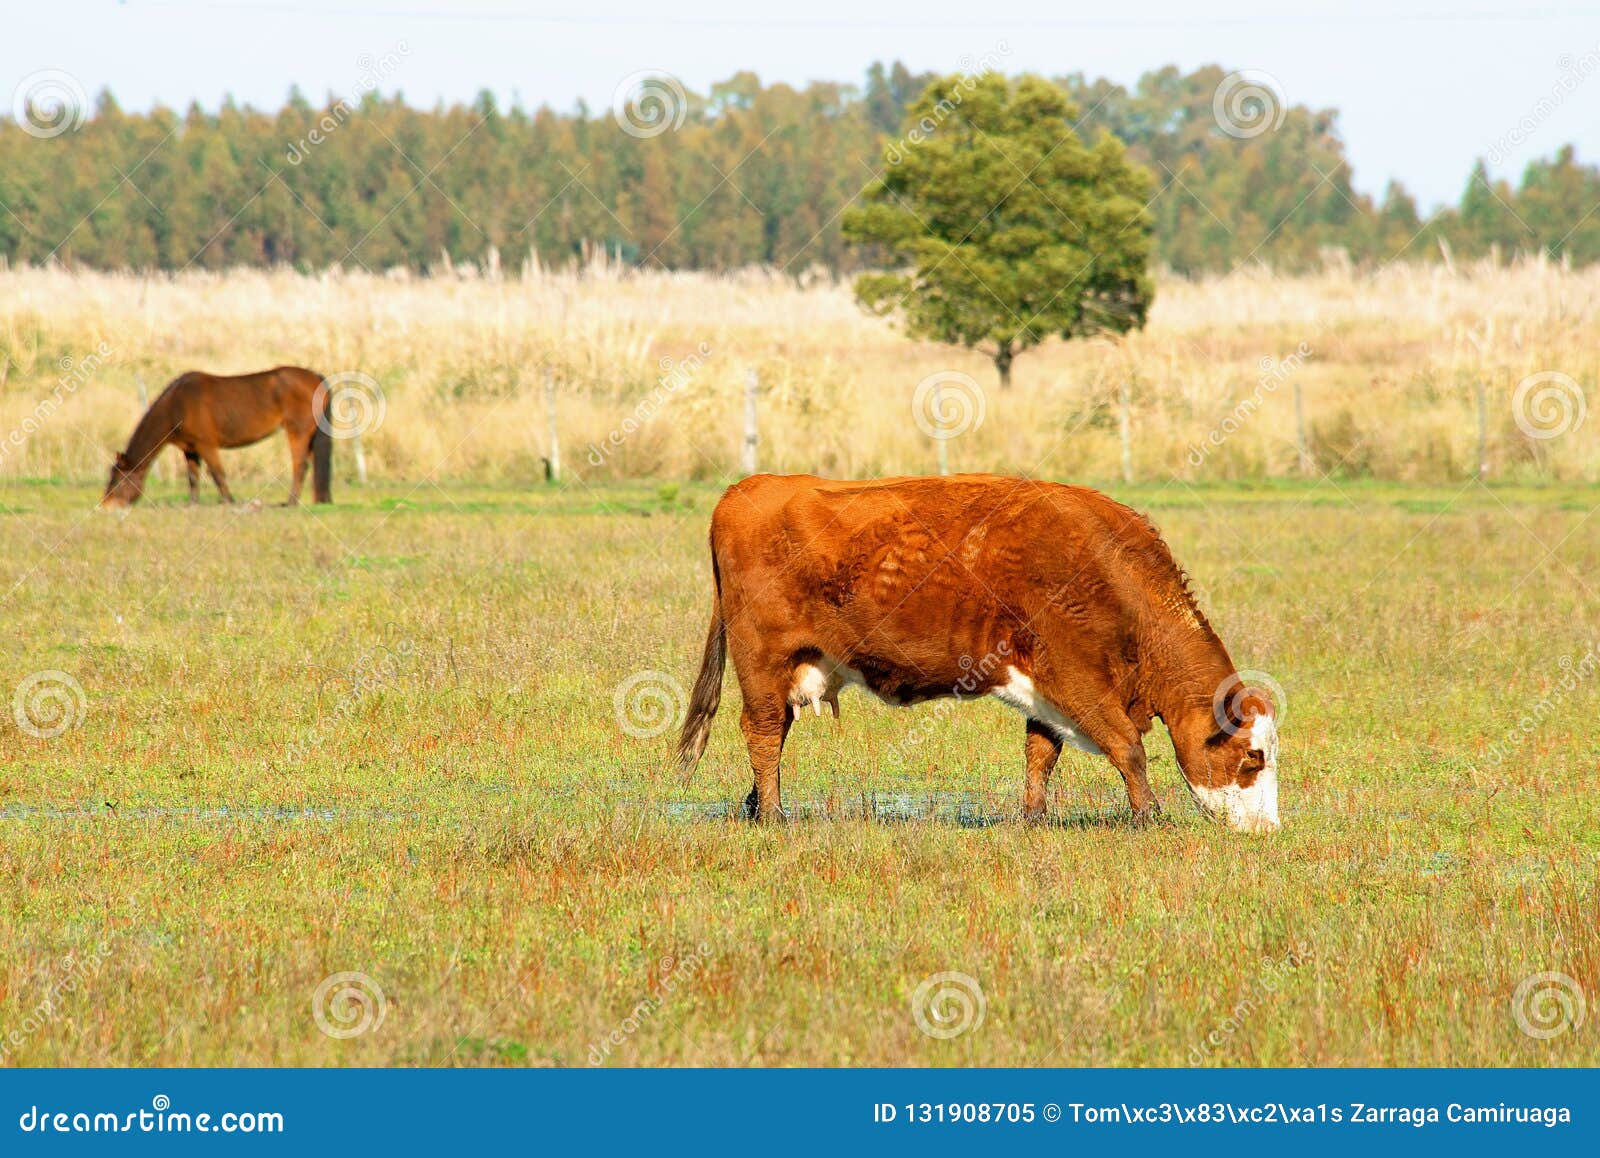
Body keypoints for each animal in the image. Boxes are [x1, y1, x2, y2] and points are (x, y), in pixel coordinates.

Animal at [675, 474, 1280, 833]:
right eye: (1253, 756)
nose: (1268, 831)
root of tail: (746, 486)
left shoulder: (1045, 690)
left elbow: (1041, 753)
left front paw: (1033, 818)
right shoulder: (1077, 678)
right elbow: (1128, 748)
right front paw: (1150, 816)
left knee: (774, 730)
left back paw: (757, 806)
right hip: (760, 661)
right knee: (762, 730)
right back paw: (775, 815)